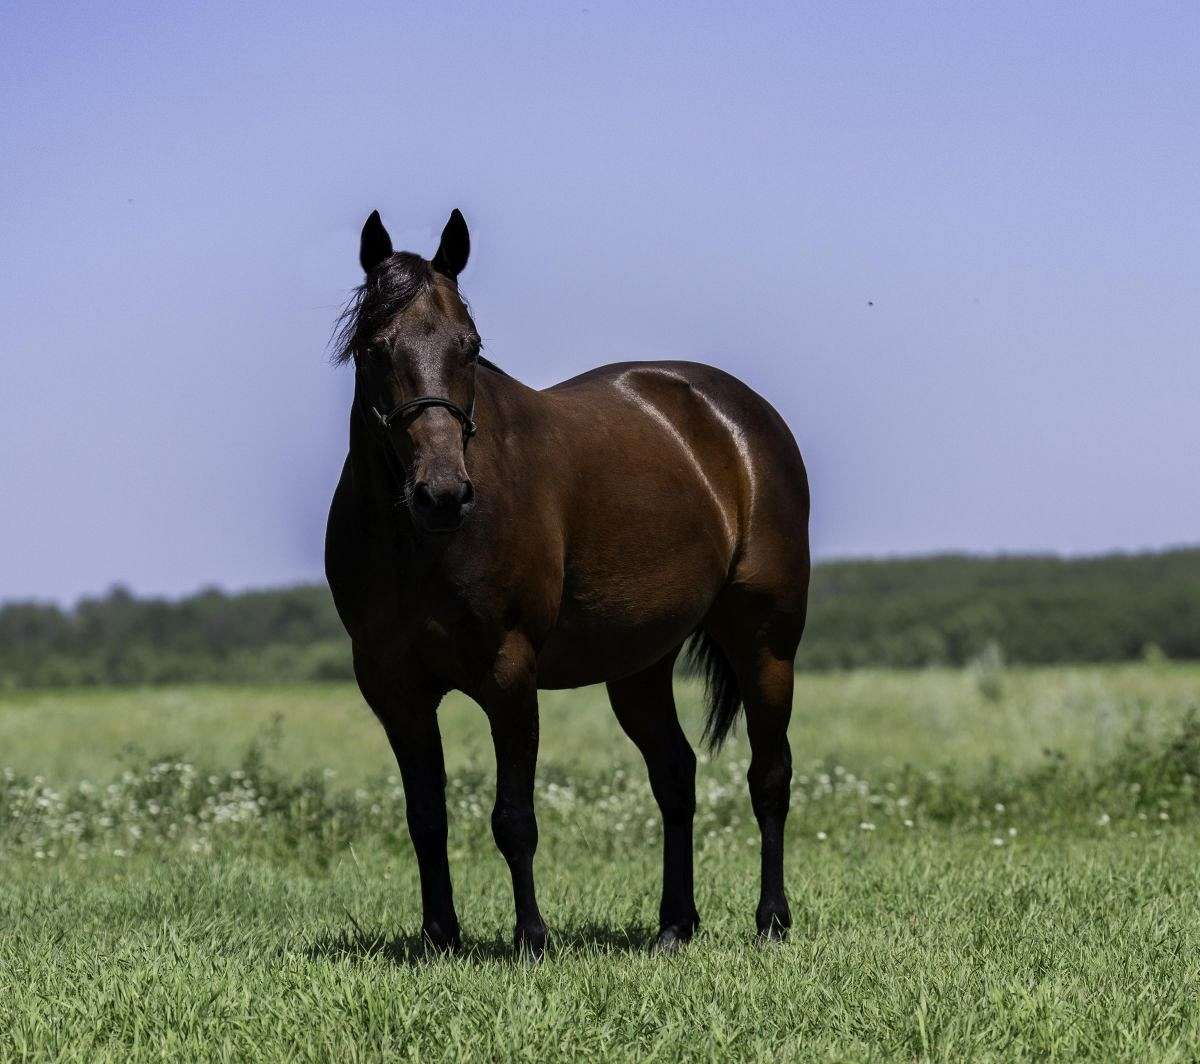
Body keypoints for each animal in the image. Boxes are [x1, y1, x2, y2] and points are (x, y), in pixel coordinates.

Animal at [325, 209, 810, 956]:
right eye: (377, 348)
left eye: (470, 345)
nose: (442, 495)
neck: (419, 545)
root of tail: (739, 418)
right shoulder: (393, 687)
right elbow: (426, 816)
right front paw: (440, 939)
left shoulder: (509, 674)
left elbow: (513, 818)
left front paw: (532, 938)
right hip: (640, 666)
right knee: (675, 776)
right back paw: (674, 926)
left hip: (766, 643)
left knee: (770, 776)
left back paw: (772, 922)